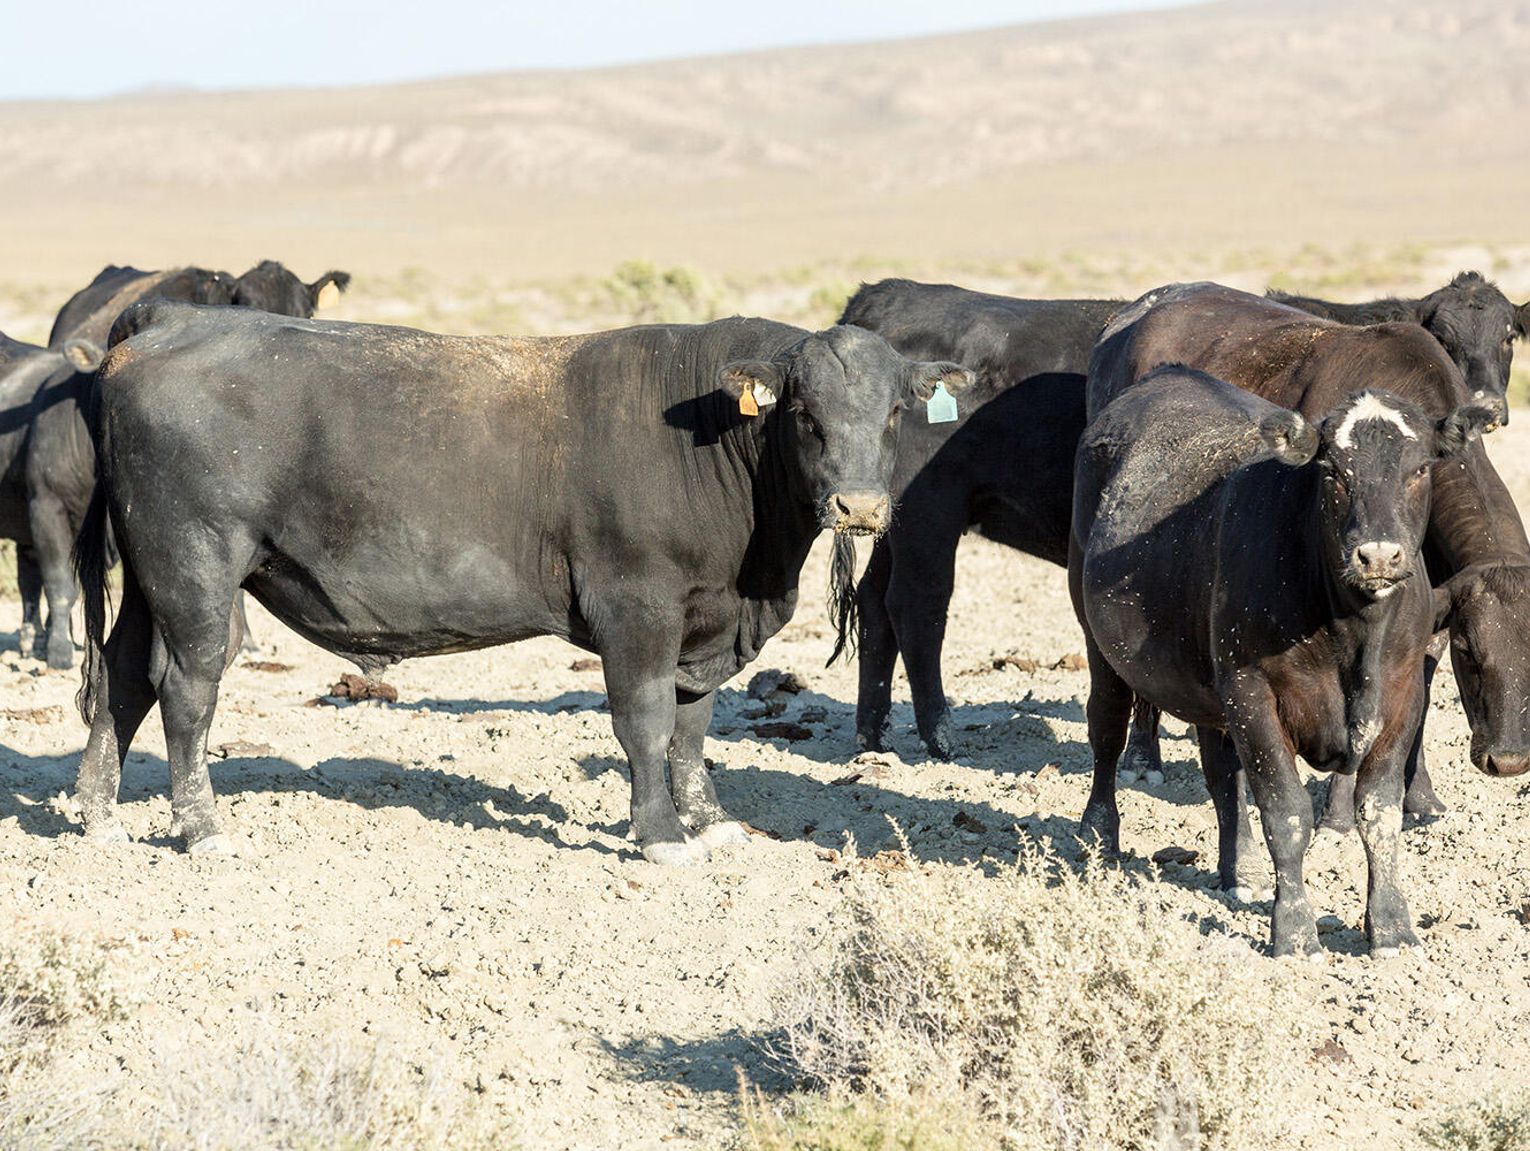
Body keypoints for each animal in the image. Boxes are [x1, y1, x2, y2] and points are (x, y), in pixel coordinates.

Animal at [71, 304, 973, 864]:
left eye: (895, 412)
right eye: (805, 414)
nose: (859, 506)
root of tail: (160, 327)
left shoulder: (704, 621)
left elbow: (692, 728)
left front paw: (711, 821)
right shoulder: (636, 608)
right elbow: (646, 723)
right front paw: (660, 834)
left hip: (152, 577)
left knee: (123, 679)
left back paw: (101, 817)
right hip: (195, 567)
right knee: (187, 691)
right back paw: (201, 828)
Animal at [838, 279, 1129, 759]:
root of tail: (890, 293)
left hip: (894, 521)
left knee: (874, 601)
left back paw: (874, 737)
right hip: (929, 511)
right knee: (917, 605)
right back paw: (942, 738)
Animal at [1073, 361, 1491, 956]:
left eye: (1418, 469)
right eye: (1333, 472)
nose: (1378, 555)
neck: (1354, 633)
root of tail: (1169, 377)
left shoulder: (1405, 695)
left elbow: (1380, 814)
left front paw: (1392, 926)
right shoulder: (1253, 690)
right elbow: (1287, 812)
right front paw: (1294, 930)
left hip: (1210, 682)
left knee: (1222, 774)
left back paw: (1240, 870)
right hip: (1096, 632)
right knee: (1107, 730)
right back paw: (1099, 837)